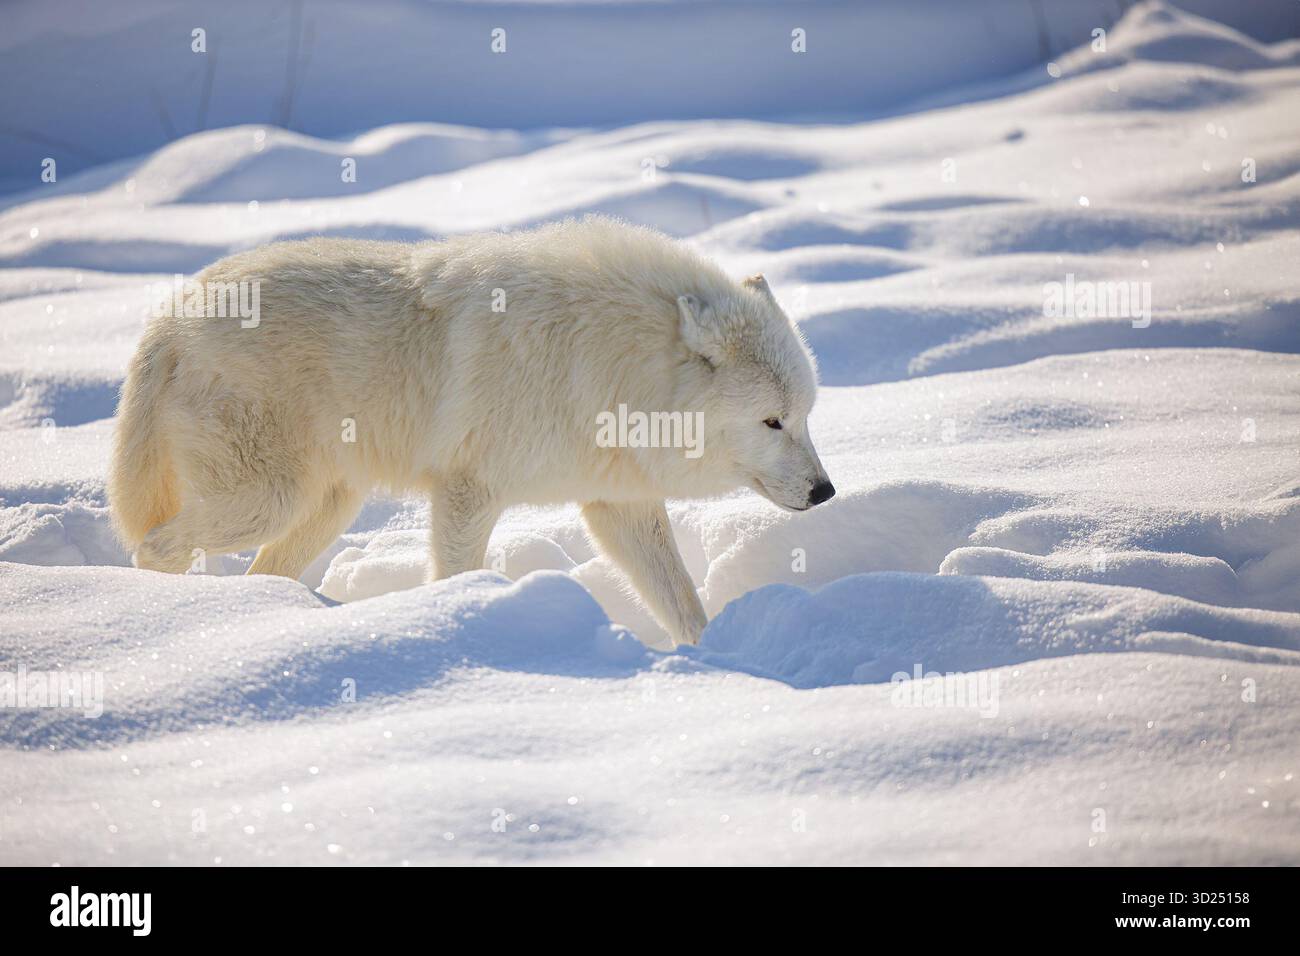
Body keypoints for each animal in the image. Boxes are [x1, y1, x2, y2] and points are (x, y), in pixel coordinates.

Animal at [108, 217, 834, 646]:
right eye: (771, 420)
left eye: (805, 415)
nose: (826, 492)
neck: (609, 360)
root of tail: (170, 314)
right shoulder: (469, 490)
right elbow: (455, 573)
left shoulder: (616, 503)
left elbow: (683, 604)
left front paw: (713, 663)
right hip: (266, 499)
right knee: (156, 547)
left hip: (326, 505)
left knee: (261, 569)